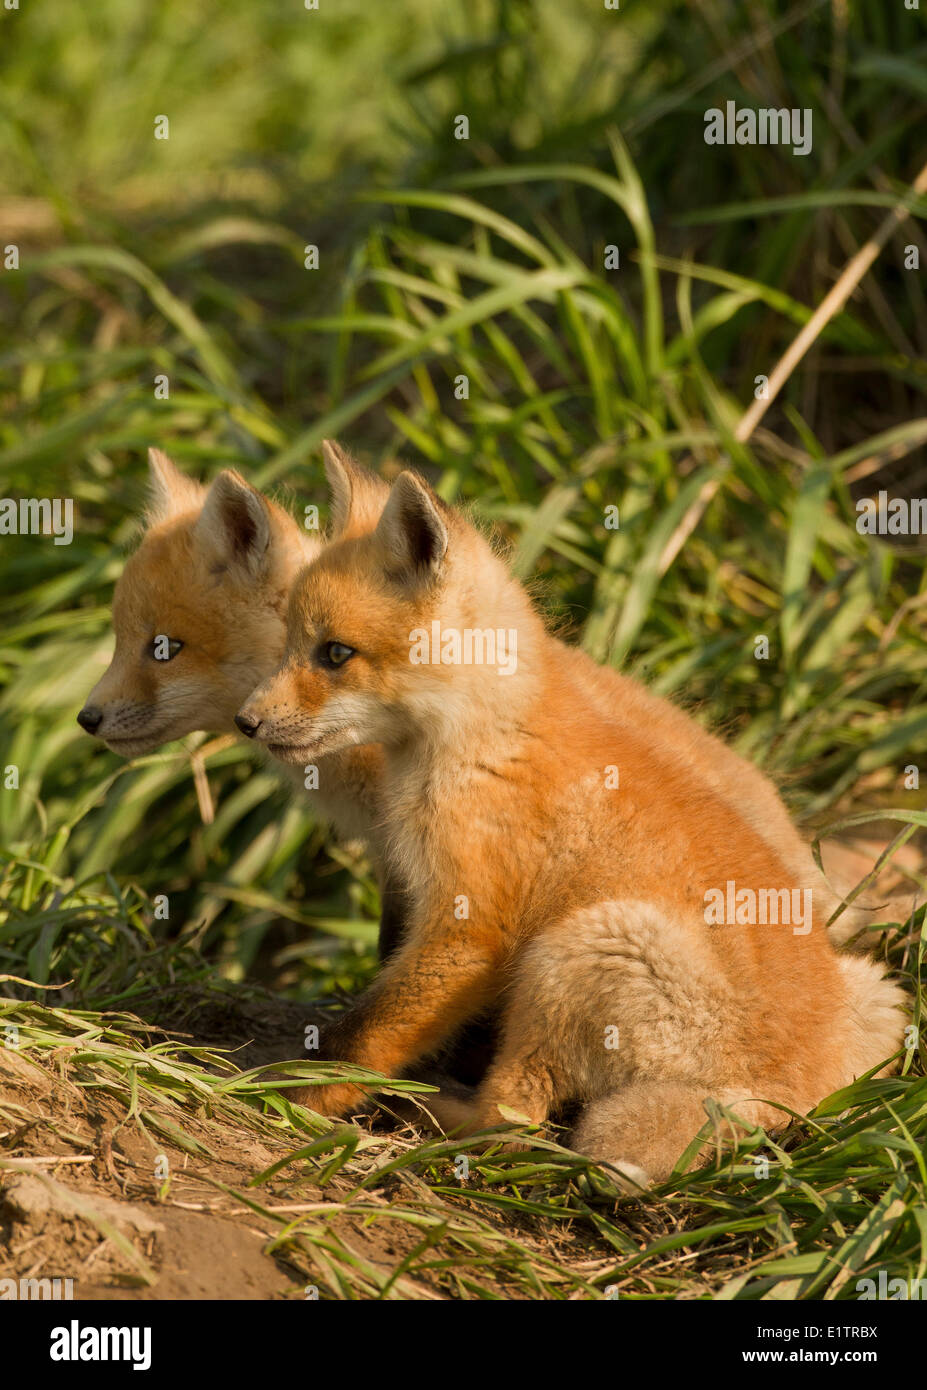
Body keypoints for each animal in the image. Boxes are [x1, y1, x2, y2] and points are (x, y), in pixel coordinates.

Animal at [237, 466, 908, 1185]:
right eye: (287, 643)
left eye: (335, 653)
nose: (245, 722)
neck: (481, 740)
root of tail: (779, 1099)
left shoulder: (469, 931)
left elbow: (359, 1036)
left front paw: (288, 1093)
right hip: (879, 994)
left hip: (580, 950)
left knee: (511, 1122)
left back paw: (424, 1111)